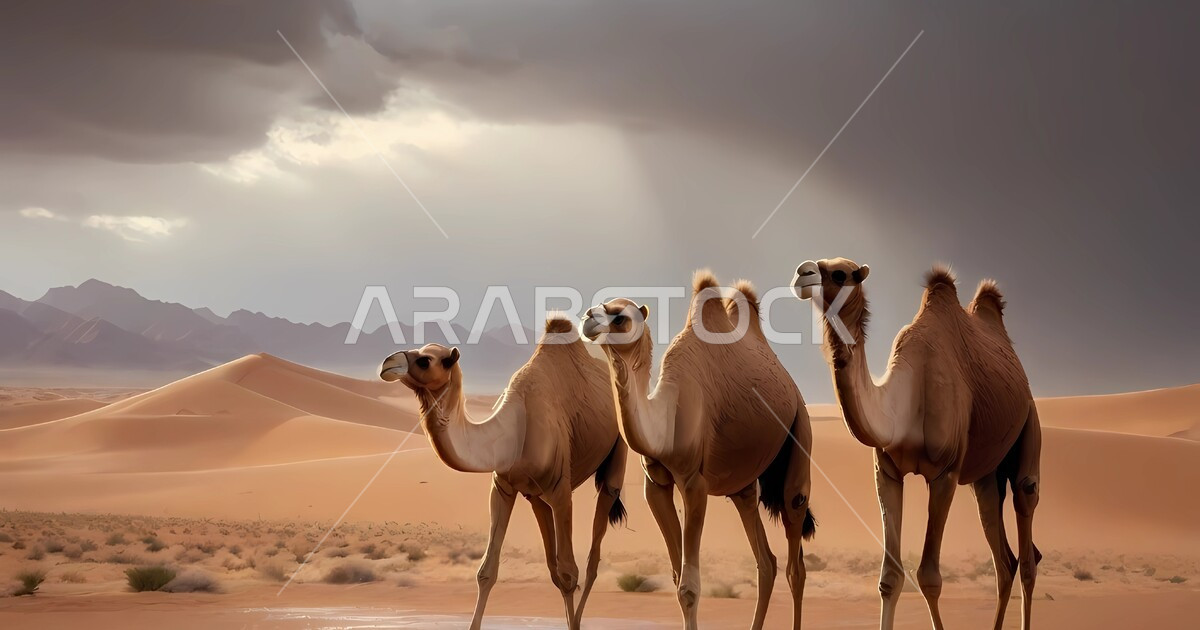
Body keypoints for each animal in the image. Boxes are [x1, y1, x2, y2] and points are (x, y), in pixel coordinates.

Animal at [378, 317, 627, 630]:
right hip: (536, 497)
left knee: (593, 552)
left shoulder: (561, 490)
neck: (514, 431)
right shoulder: (503, 486)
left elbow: (570, 572)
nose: (387, 363)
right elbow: (487, 571)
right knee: (554, 566)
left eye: (425, 360)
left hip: (616, 452)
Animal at [582, 271, 816, 630]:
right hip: (743, 487)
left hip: (799, 435)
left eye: (619, 316)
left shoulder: (695, 483)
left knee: (796, 562)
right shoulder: (656, 484)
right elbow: (677, 575)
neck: (665, 420)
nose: (587, 320)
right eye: (597, 306)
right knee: (766, 562)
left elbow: (689, 587)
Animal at [790, 258, 1041, 630]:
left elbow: (929, 577)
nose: (801, 273)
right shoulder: (887, 472)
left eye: (840, 273)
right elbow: (890, 578)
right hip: (986, 477)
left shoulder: (945, 474)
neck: (906, 400)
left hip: (1028, 425)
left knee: (1026, 550)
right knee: (1004, 560)